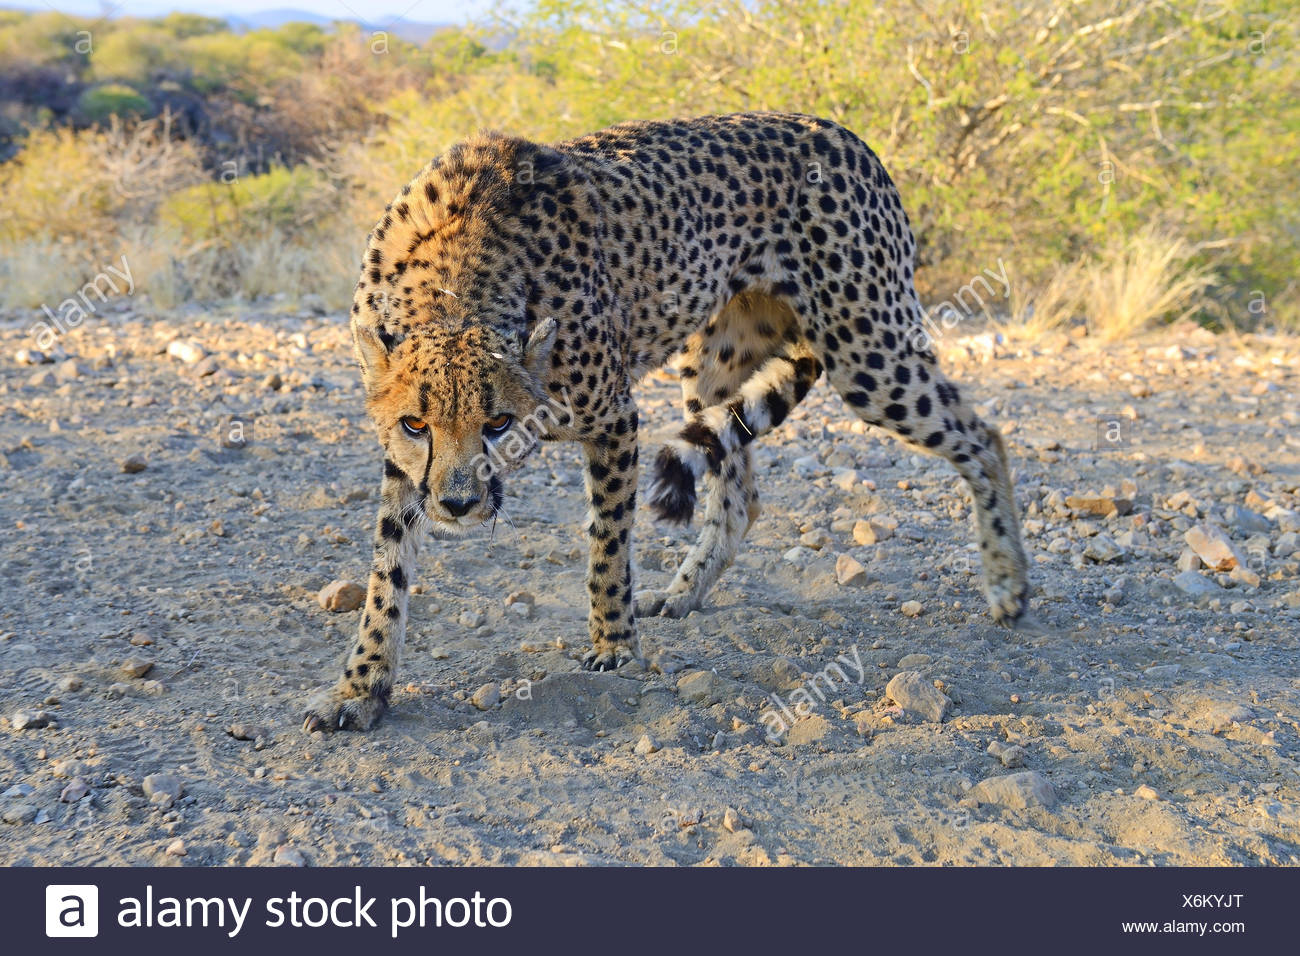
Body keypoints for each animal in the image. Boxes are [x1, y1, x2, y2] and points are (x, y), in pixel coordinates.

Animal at [303, 112, 1029, 733]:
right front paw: (361, 688)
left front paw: (615, 645)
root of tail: (842, 131)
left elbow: (607, 545)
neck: (455, 285)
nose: (457, 504)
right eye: (415, 425)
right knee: (739, 493)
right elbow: (386, 573)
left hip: (867, 351)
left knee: (983, 436)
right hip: (716, 362)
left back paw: (1008, 583)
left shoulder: (614, 418)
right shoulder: (402, 459)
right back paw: (683, 592)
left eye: (500, 422)